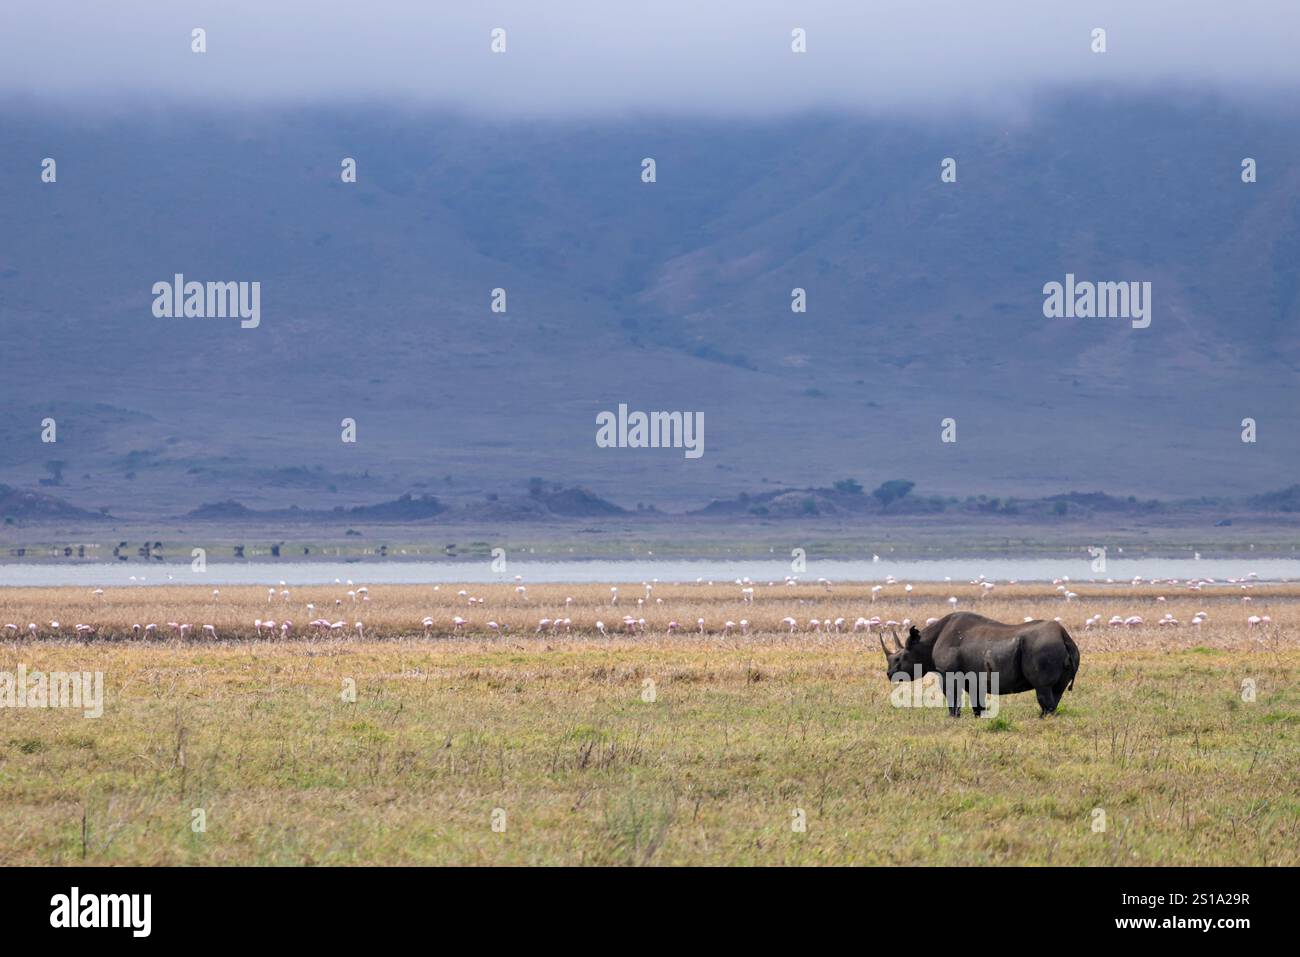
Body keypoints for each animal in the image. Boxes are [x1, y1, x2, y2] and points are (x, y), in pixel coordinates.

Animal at [879, 612, 1080, 717]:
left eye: (899, 659)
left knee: (1043, 688)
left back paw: (1042, 718)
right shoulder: (974, 677)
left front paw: (953, 717)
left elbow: (952, 696)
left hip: (1042, 647)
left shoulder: (947, 673)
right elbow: (977, 701)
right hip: (1061, 649)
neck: (924, 644)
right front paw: (980, 717)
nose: (889, 674)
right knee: (1056, 691)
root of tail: (1064, 637)